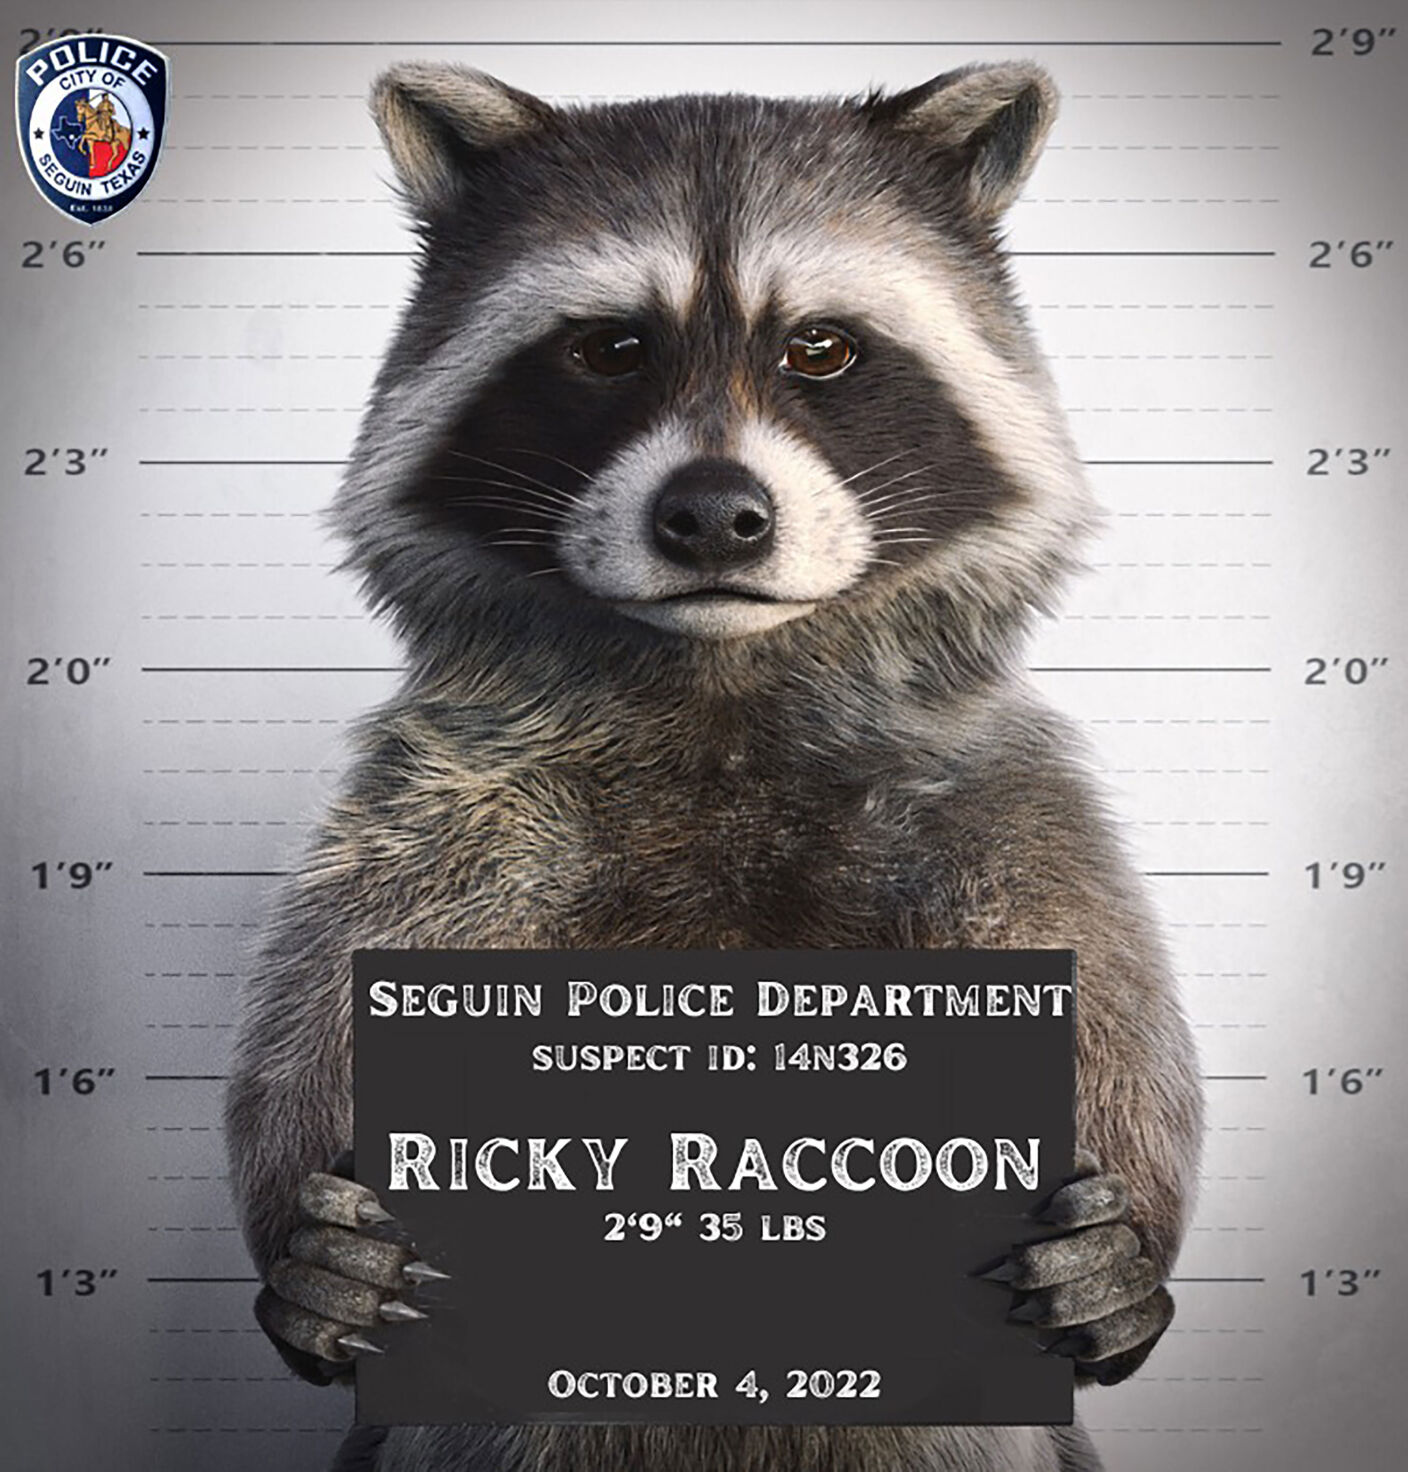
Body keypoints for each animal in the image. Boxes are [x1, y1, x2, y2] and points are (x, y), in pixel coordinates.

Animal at [225, 60, 1204, 1472]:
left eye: (822, 347)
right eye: (609, 348)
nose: (712, 516)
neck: (719, 688)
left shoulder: (990, 792)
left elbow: (1099, 998)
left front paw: (1132, 1229)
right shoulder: (448, 799)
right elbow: (327, 1002)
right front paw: (299, 1226)